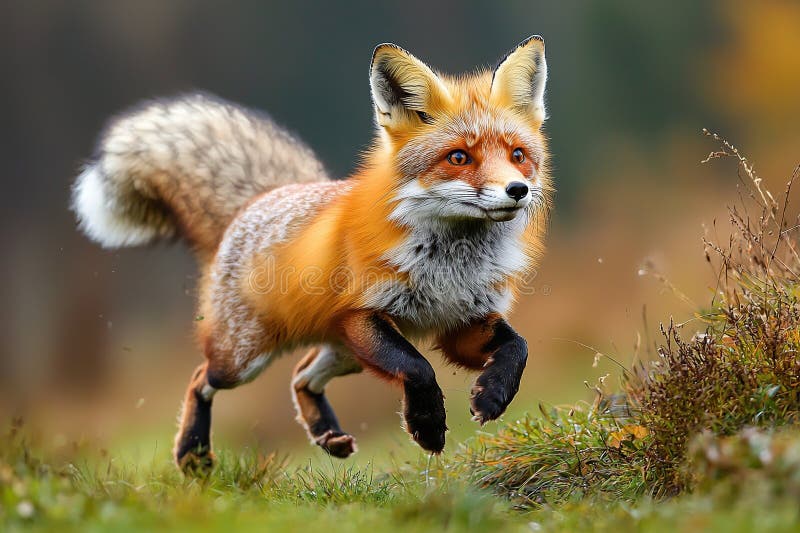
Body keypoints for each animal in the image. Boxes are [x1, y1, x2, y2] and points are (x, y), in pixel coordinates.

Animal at [71, 36, 552, 474]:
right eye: (459, 157)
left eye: (518, 155)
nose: (517, 190)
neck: (451, 266)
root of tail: (260, 199)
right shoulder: (361, 313)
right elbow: (418, 370)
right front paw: (428, 425)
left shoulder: (463, 320)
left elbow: (520, 347)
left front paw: (493, 395)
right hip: (246, 358)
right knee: (200, 380)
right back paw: (192, 453)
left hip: (344, 353)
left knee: (300, 374)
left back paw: (326, 435)